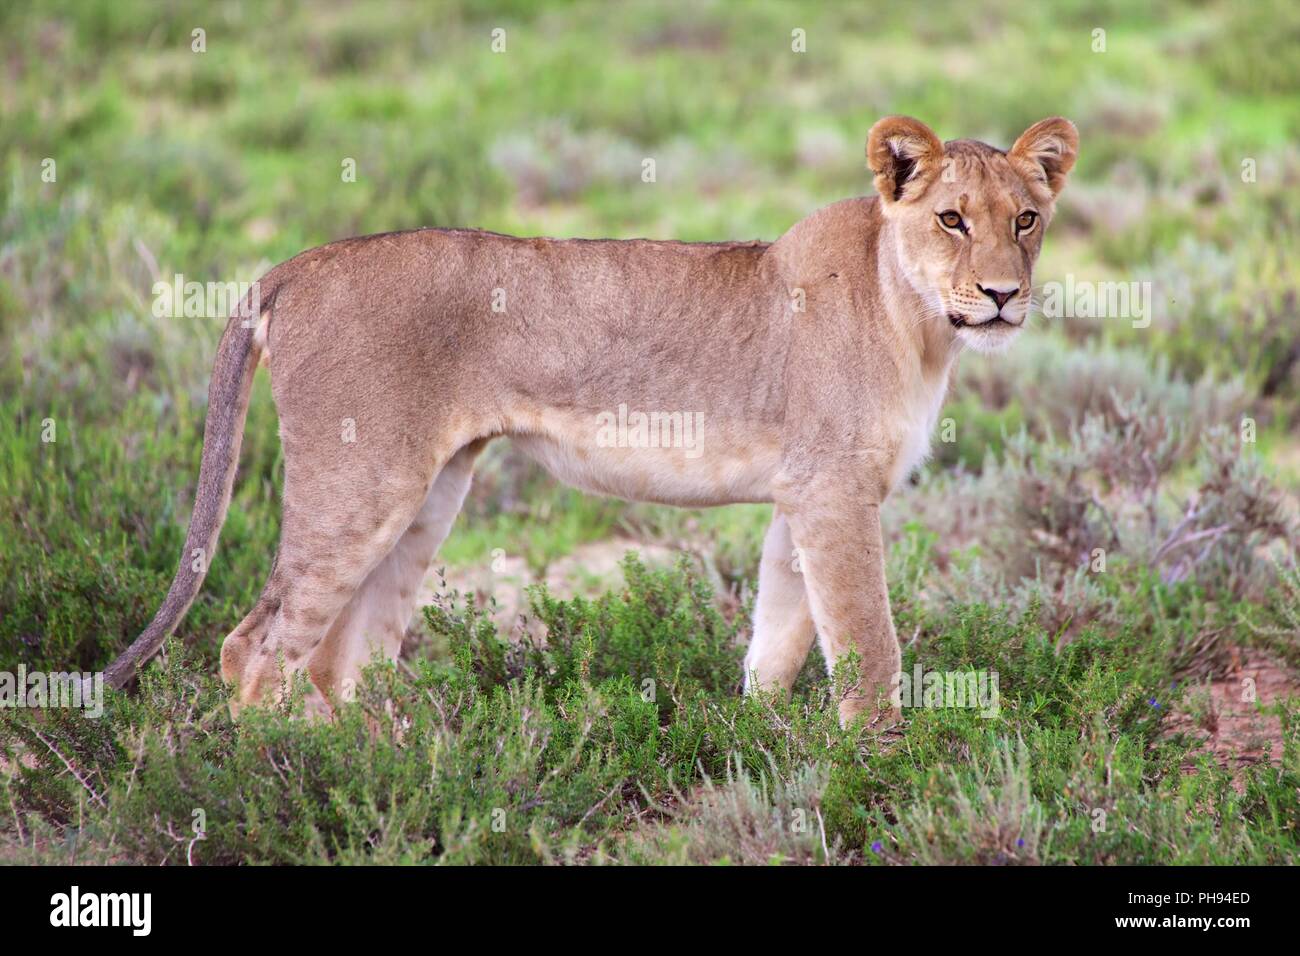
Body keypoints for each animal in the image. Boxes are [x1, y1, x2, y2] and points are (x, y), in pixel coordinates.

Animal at [101, 115, 1078, 726]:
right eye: (951, 219)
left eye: (1027, 219)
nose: (1003, 295)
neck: (918, 324)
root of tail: (297, 263)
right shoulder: (835, 490)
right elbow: (869, 646)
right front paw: (879, 768)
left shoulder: (801, 495)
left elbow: (781, 636)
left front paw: (759, 744)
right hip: (360, 481)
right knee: (253, 648)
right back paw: (277, 778)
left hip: (429, 492)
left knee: (342, 660)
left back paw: (374, 772)